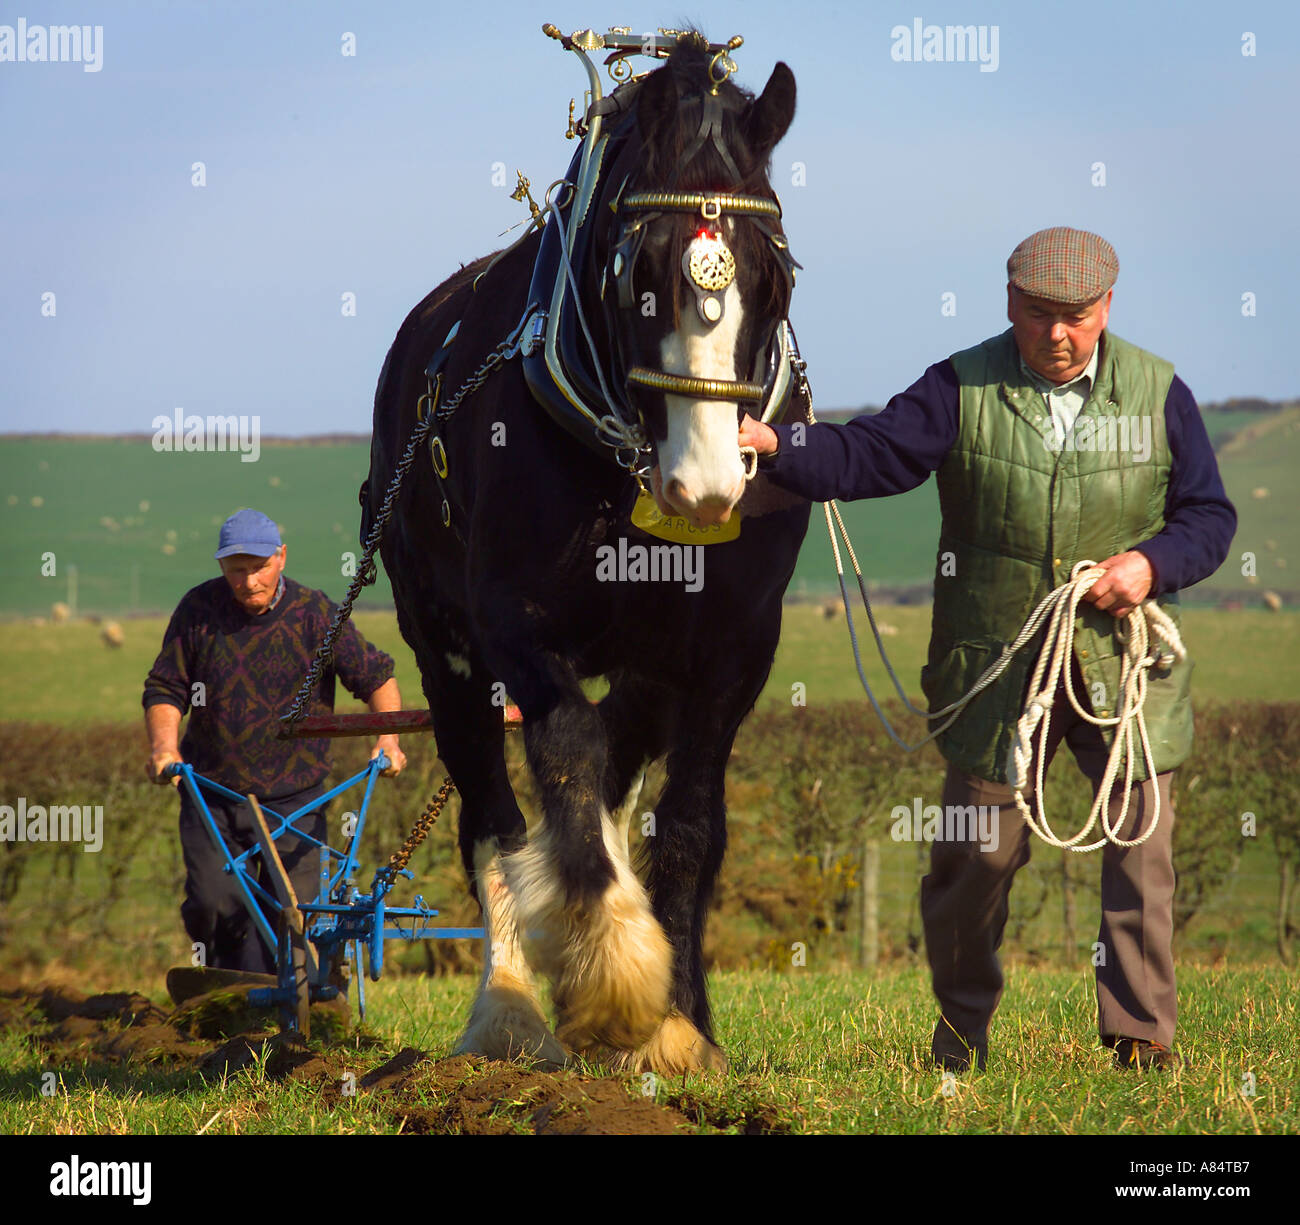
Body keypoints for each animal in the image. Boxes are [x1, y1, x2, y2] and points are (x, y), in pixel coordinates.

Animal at [361, 32, 810, 1073]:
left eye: (775, 279)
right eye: (637, 274)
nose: (707, 487)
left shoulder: (735, 647)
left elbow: (687, 823)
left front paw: (678, 1024)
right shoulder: (513, 628)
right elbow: (563, 755)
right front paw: (608, 973)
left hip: (646, 665)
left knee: (616, 777)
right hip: (444, 656)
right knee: (493, 813)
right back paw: (511, 1008)